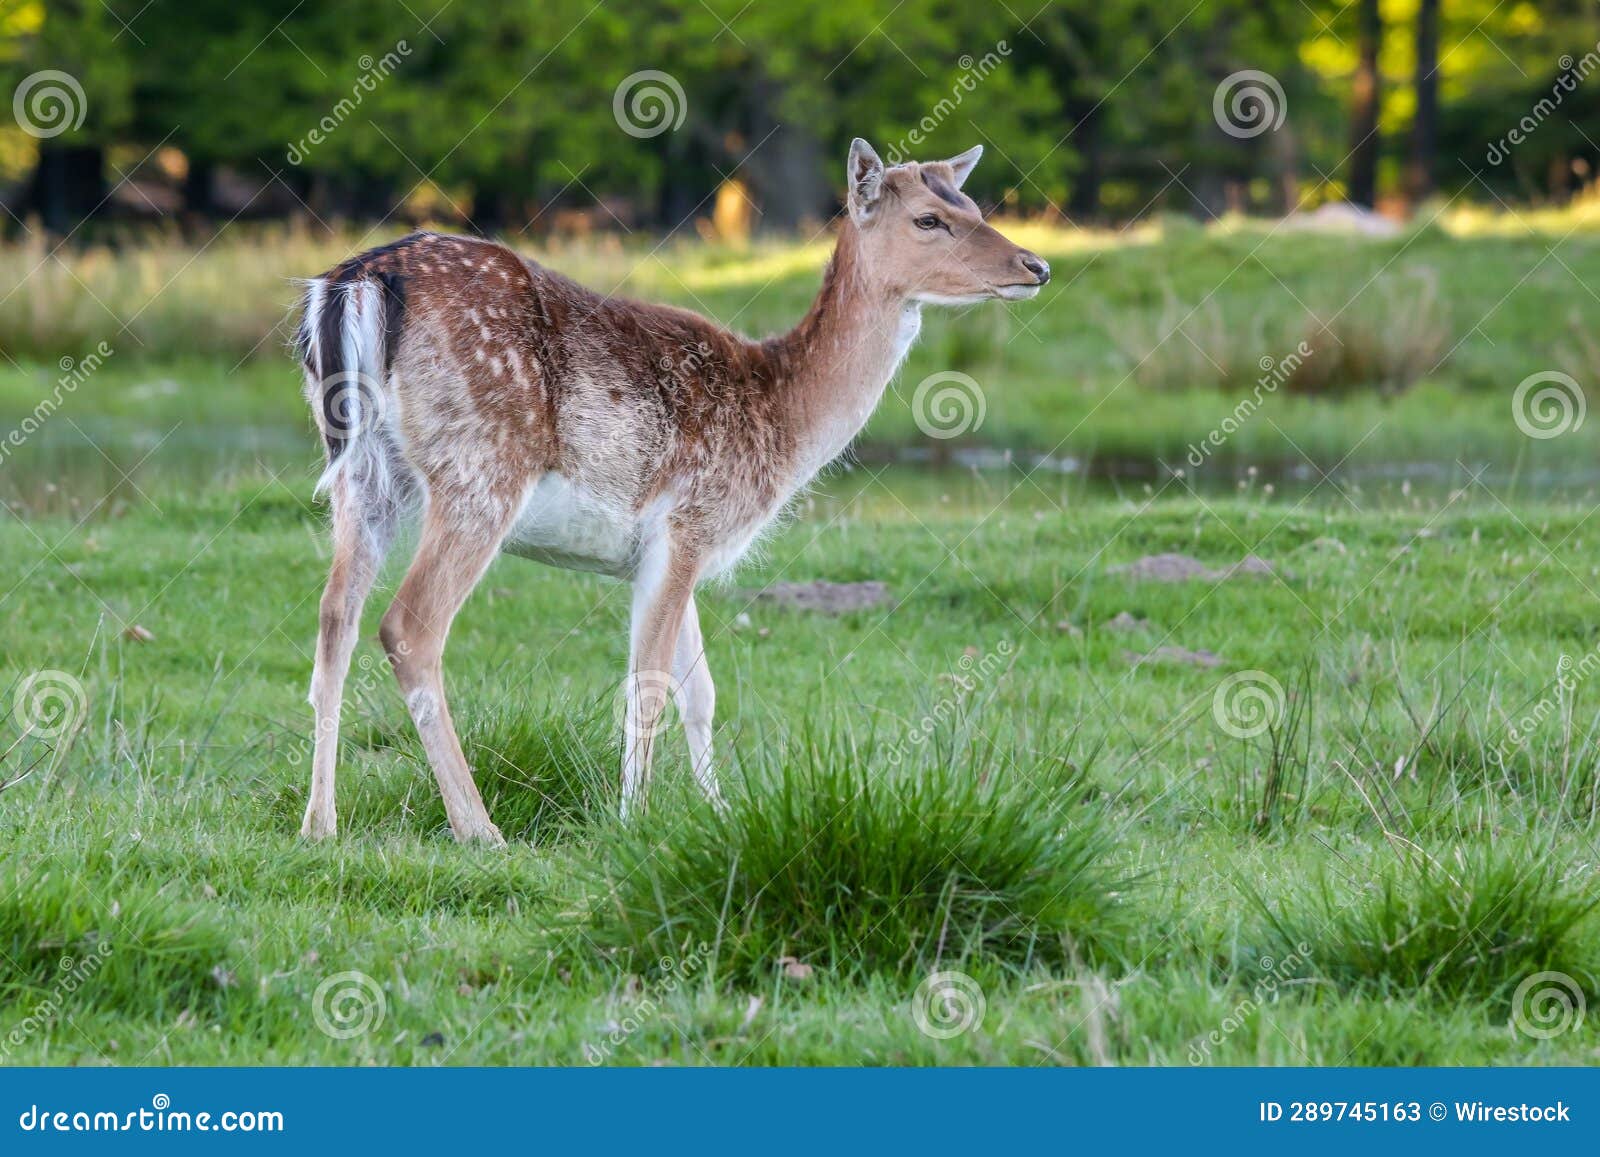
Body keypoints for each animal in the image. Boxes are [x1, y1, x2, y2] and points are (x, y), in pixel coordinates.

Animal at [294, 138, 1050, 844]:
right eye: (929, 218)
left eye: (973, 205)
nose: (1035, 266)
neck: (782, 423)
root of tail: (359, 282)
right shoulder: (690, 520)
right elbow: (649, 685)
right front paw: (634, 821)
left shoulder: (662, 551)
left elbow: (700, 690)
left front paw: (717, 812)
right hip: (480, 467)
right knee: (409, 625)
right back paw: (481, 829)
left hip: (362, 474)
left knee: (334, 619)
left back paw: (319, 825)